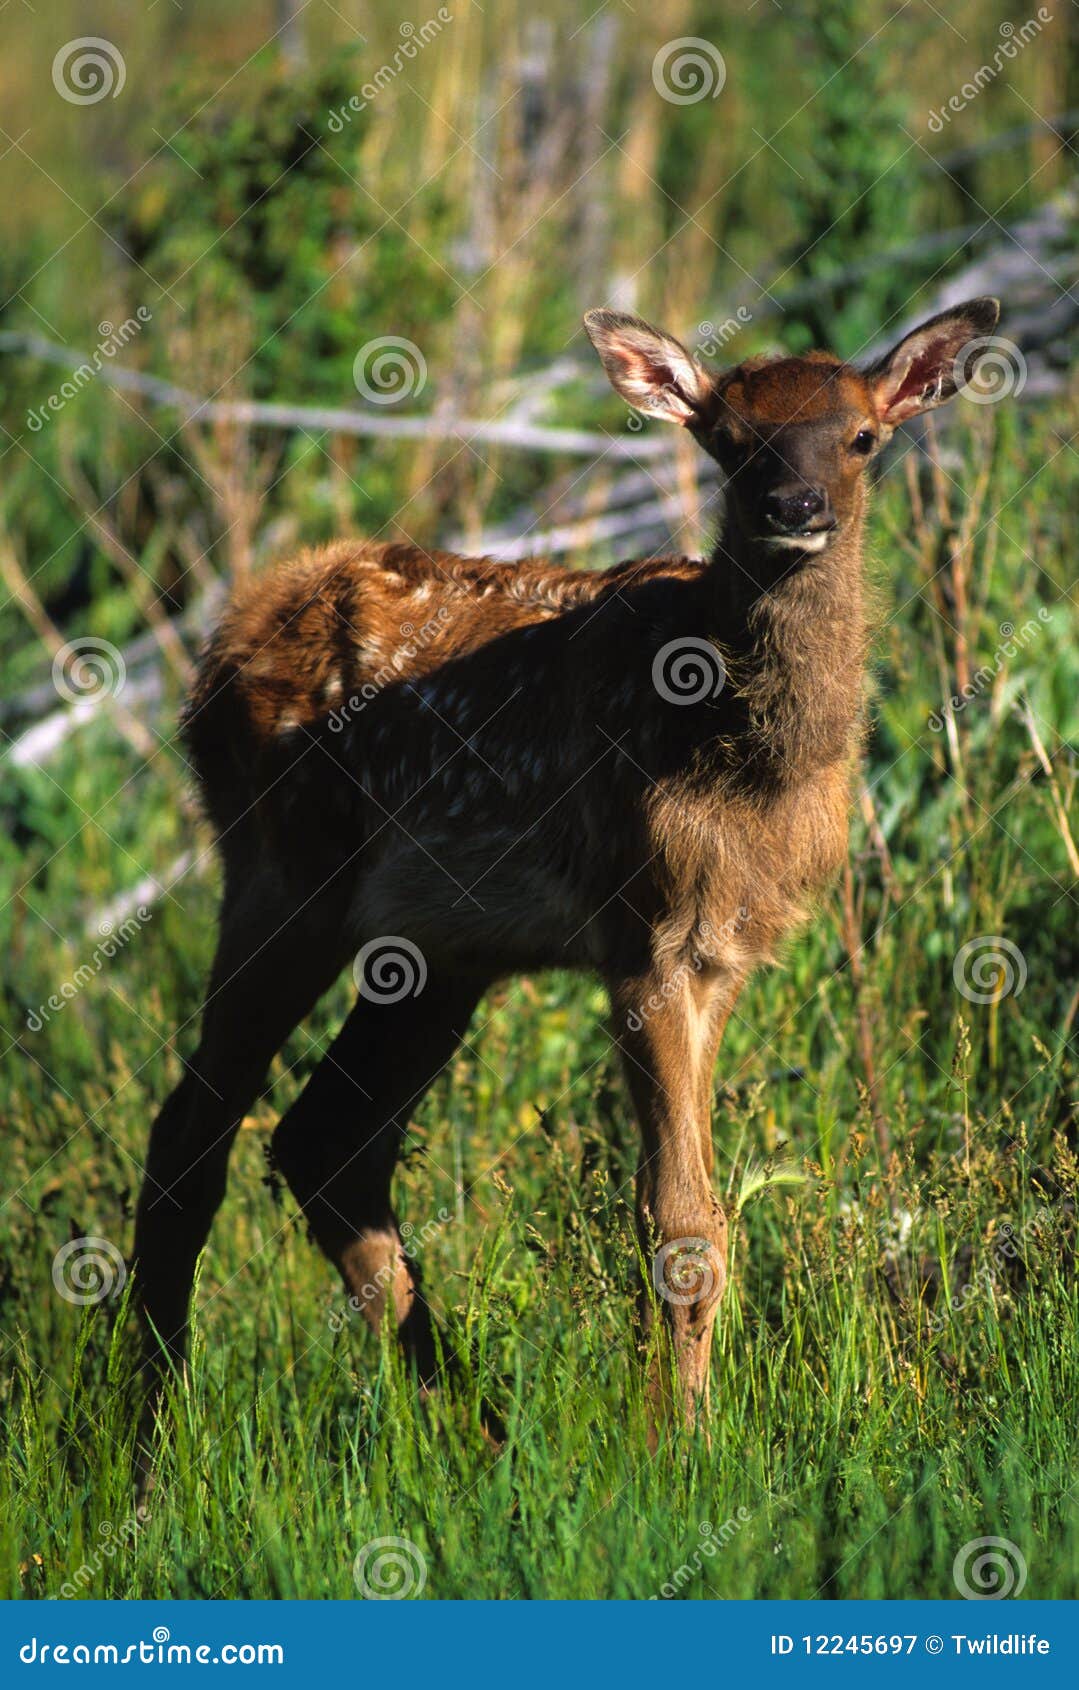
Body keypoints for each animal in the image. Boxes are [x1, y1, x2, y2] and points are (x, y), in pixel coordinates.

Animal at [133, 295, 1000, 1459]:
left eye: (861, 435)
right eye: (727, 441)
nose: (795, 505)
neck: (743, 760)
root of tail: (221, 645)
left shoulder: (722, 952)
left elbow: (696, 1211)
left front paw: (677, 1427)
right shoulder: (641, 930)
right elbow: (679, 1220)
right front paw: (679, 1449)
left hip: (436, 951)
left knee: (326, 1145)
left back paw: (474, 1430)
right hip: (280, 872)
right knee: (192, 1131)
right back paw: (142, 1448)